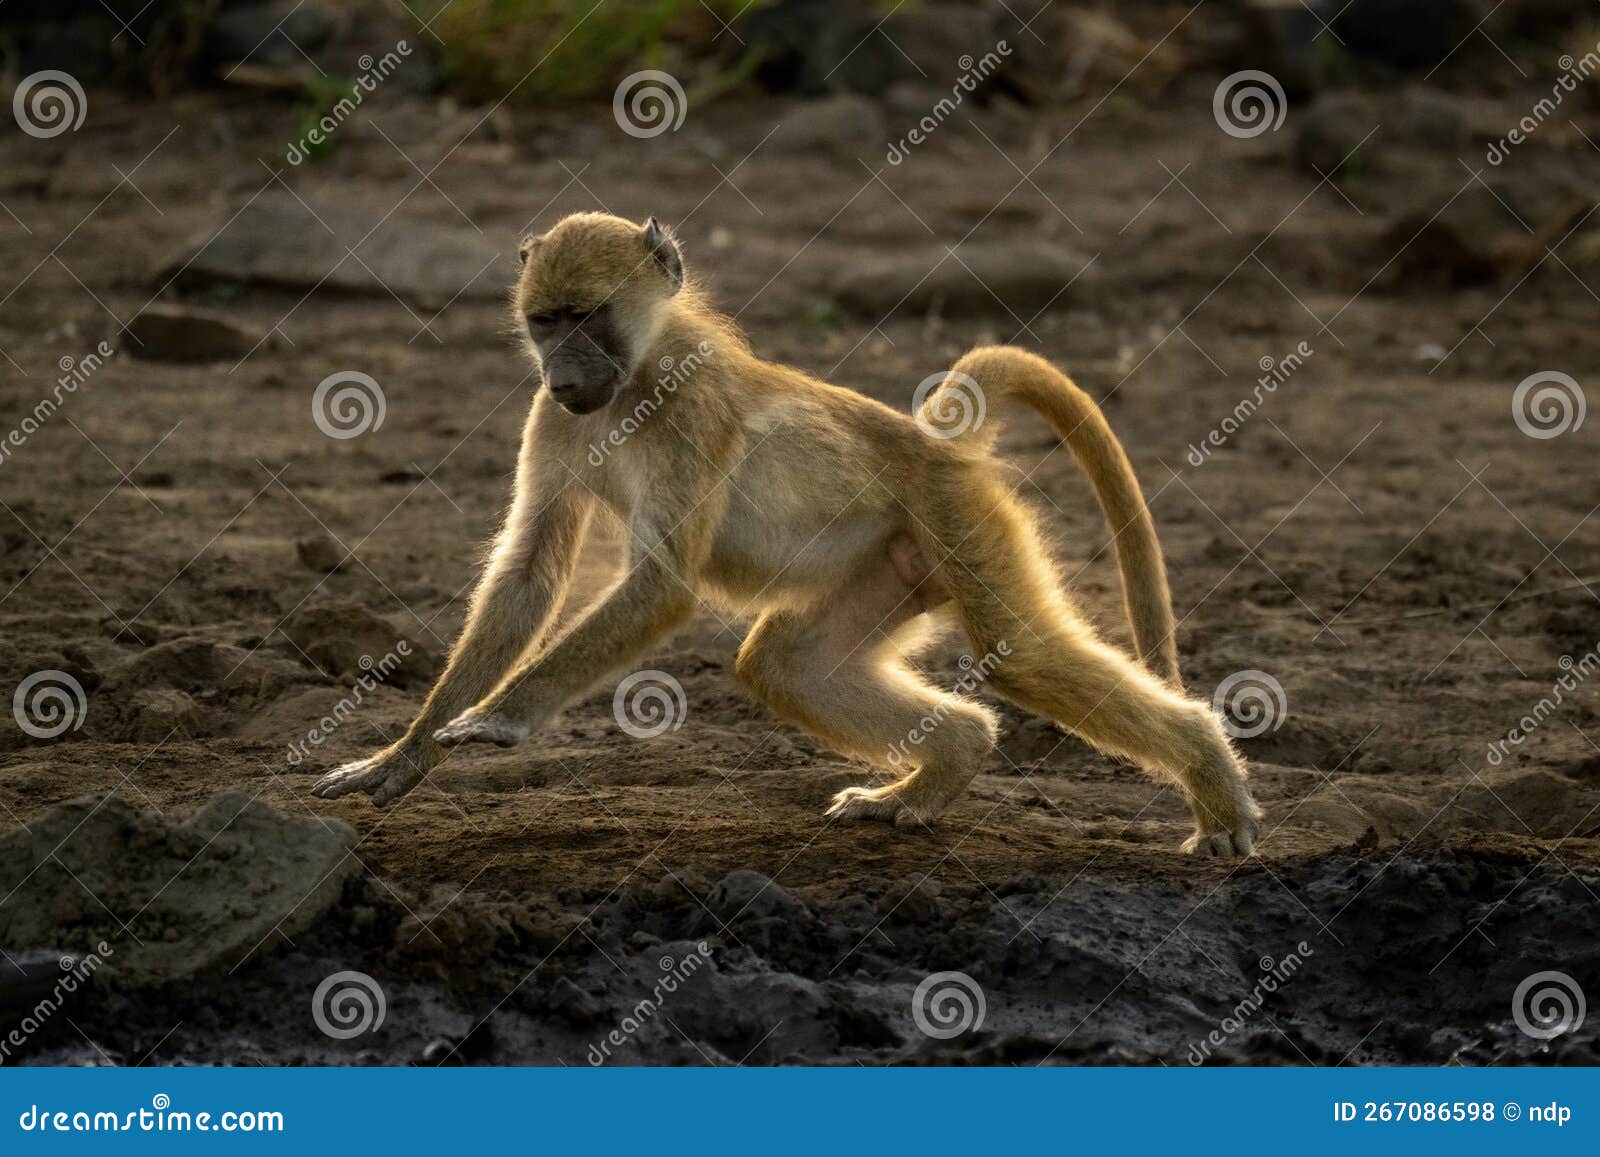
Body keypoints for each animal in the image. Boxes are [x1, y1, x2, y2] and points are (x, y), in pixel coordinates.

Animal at [312, 211, 1263, 857]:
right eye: (545, 320)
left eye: (588, 314)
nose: (564, 371)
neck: (638, 372)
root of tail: (936, 444)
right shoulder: (553, 421)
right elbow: (528, 575)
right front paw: (405, 755)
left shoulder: (689, 412)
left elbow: (663, 581)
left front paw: (499, 720)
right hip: (900, 559)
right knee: (786, 663)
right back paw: (941, 769)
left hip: (960, 520)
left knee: (1020, 652)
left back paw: (1210, 777)